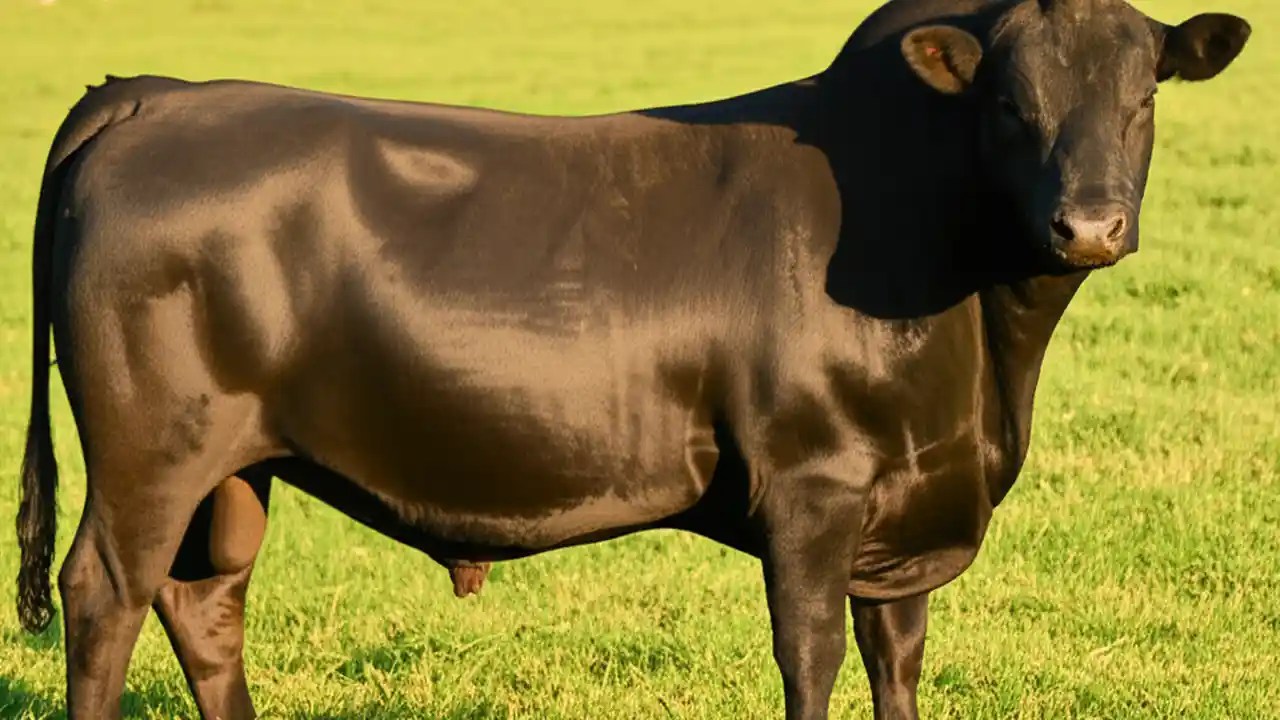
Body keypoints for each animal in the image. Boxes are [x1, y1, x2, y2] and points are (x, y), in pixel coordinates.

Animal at [15, 0, 1249, 718]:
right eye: (1006, 99)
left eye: (1141, 94)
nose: (1088, 225)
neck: (986, 360)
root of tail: (156, 95)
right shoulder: (814, 486)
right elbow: (811, 660)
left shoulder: (906, 510)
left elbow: (895, 663)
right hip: (149, 454)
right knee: (108, 595)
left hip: (235, 463)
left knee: (204, 602)